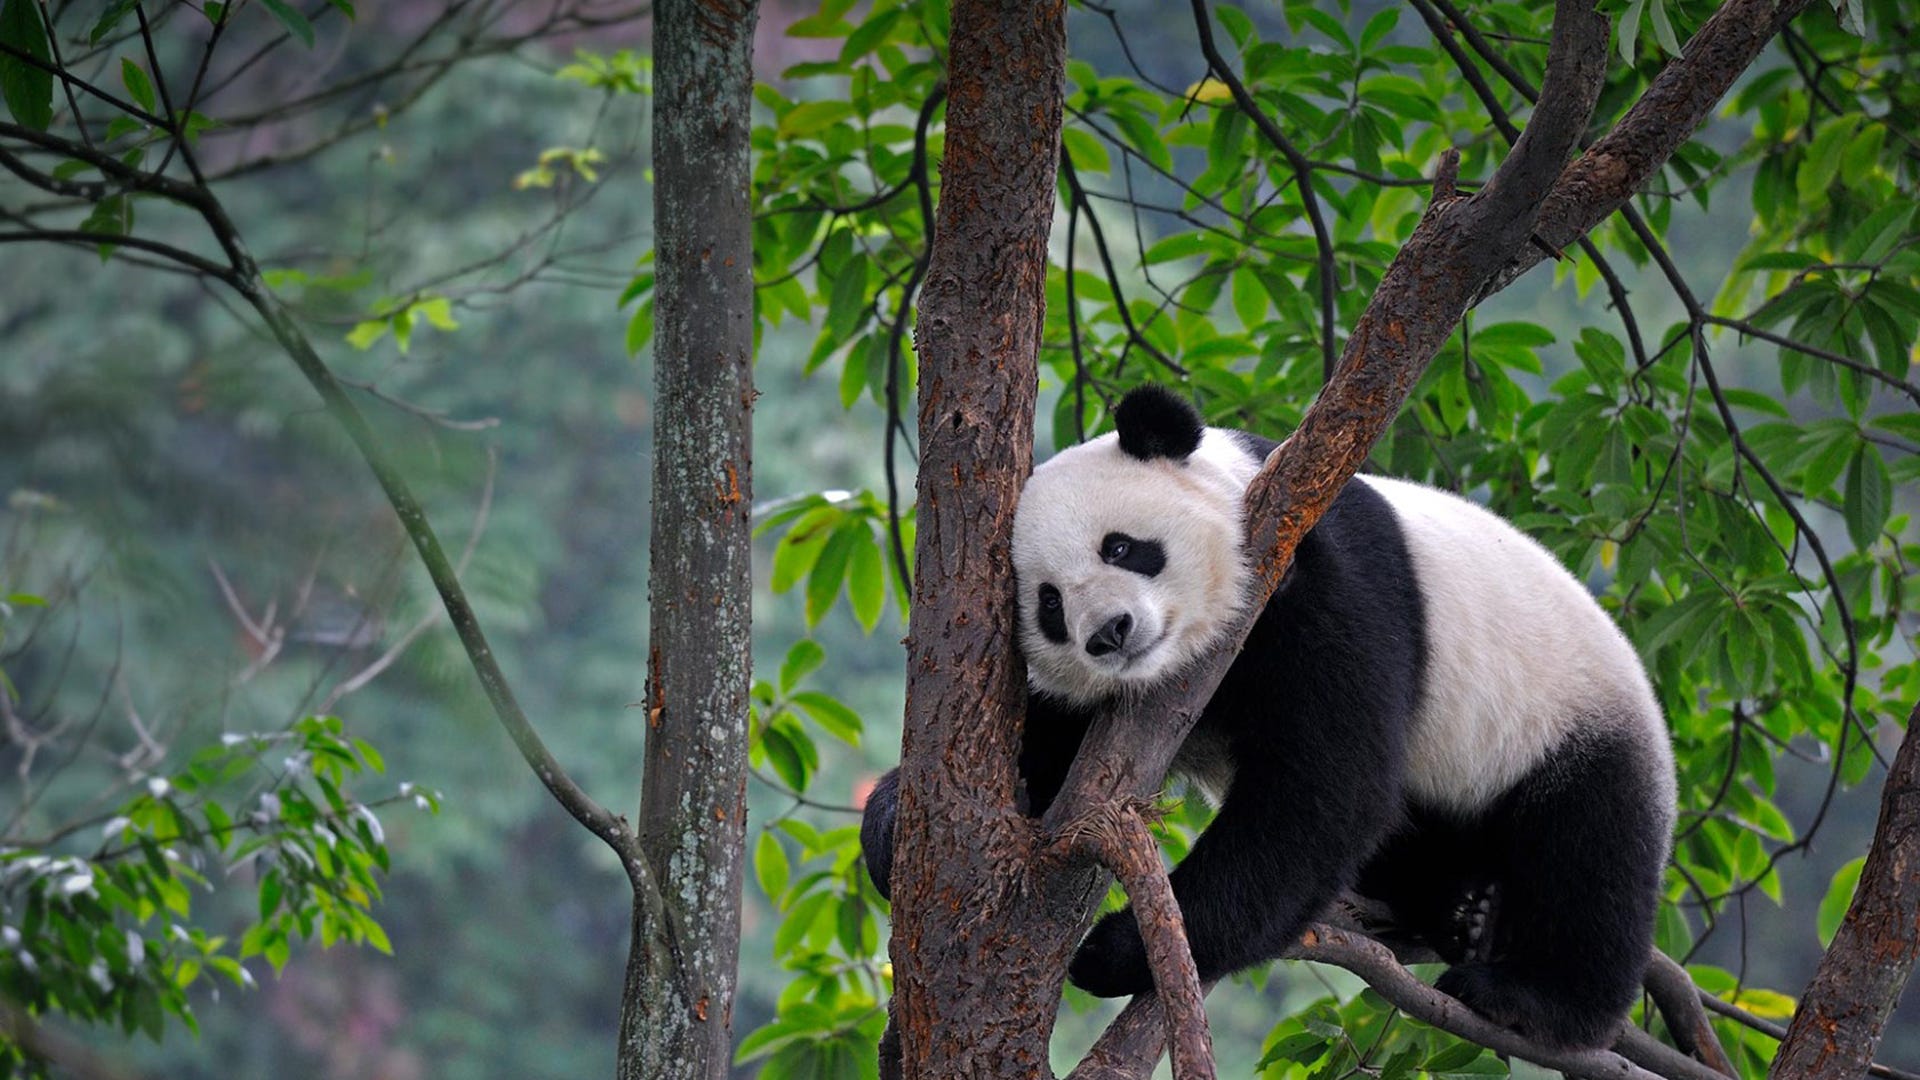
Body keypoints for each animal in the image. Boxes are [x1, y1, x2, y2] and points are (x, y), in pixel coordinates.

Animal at [862, 385, 1676, 1050]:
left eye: (1122, 546)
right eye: (1050, 606)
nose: (1111, 634)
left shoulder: (1321, 575)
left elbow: (1323, 786)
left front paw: (1117, 949)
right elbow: (1051, 750)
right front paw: (895, 825)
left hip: (1569, 713)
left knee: (1590, 849)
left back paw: (1530, 998)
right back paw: (1460, 909)